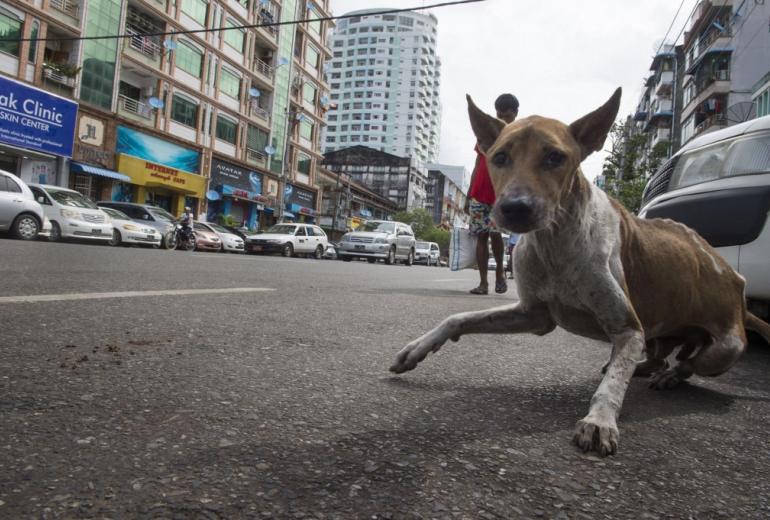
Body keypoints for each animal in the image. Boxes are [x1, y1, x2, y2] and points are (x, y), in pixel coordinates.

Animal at [390, 88, 768, 456]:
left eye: (555, 158)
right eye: (499, 157)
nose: (515, 208)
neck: (555, 242)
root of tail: (736, 286)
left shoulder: (627, 328)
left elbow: (613, 383)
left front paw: (600, 419)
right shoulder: (534, 315)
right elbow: (459, 318)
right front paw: (417, 347)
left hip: (723, 349)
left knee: (688, 364)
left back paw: (669, 376)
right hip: (663, 332)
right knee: (659, 354)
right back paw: (648, 367)